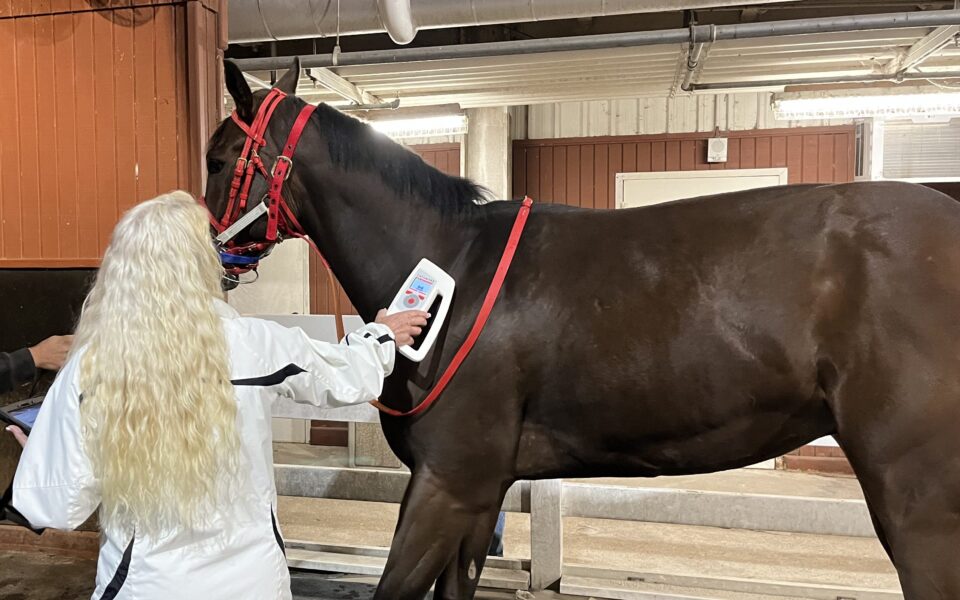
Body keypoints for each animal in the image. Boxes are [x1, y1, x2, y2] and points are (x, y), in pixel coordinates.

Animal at [202, 58, 960, 600]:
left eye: (219, 158)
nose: (211, 252)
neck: (456, 268)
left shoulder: (448, 483)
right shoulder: (481, 491)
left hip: (918, 501)